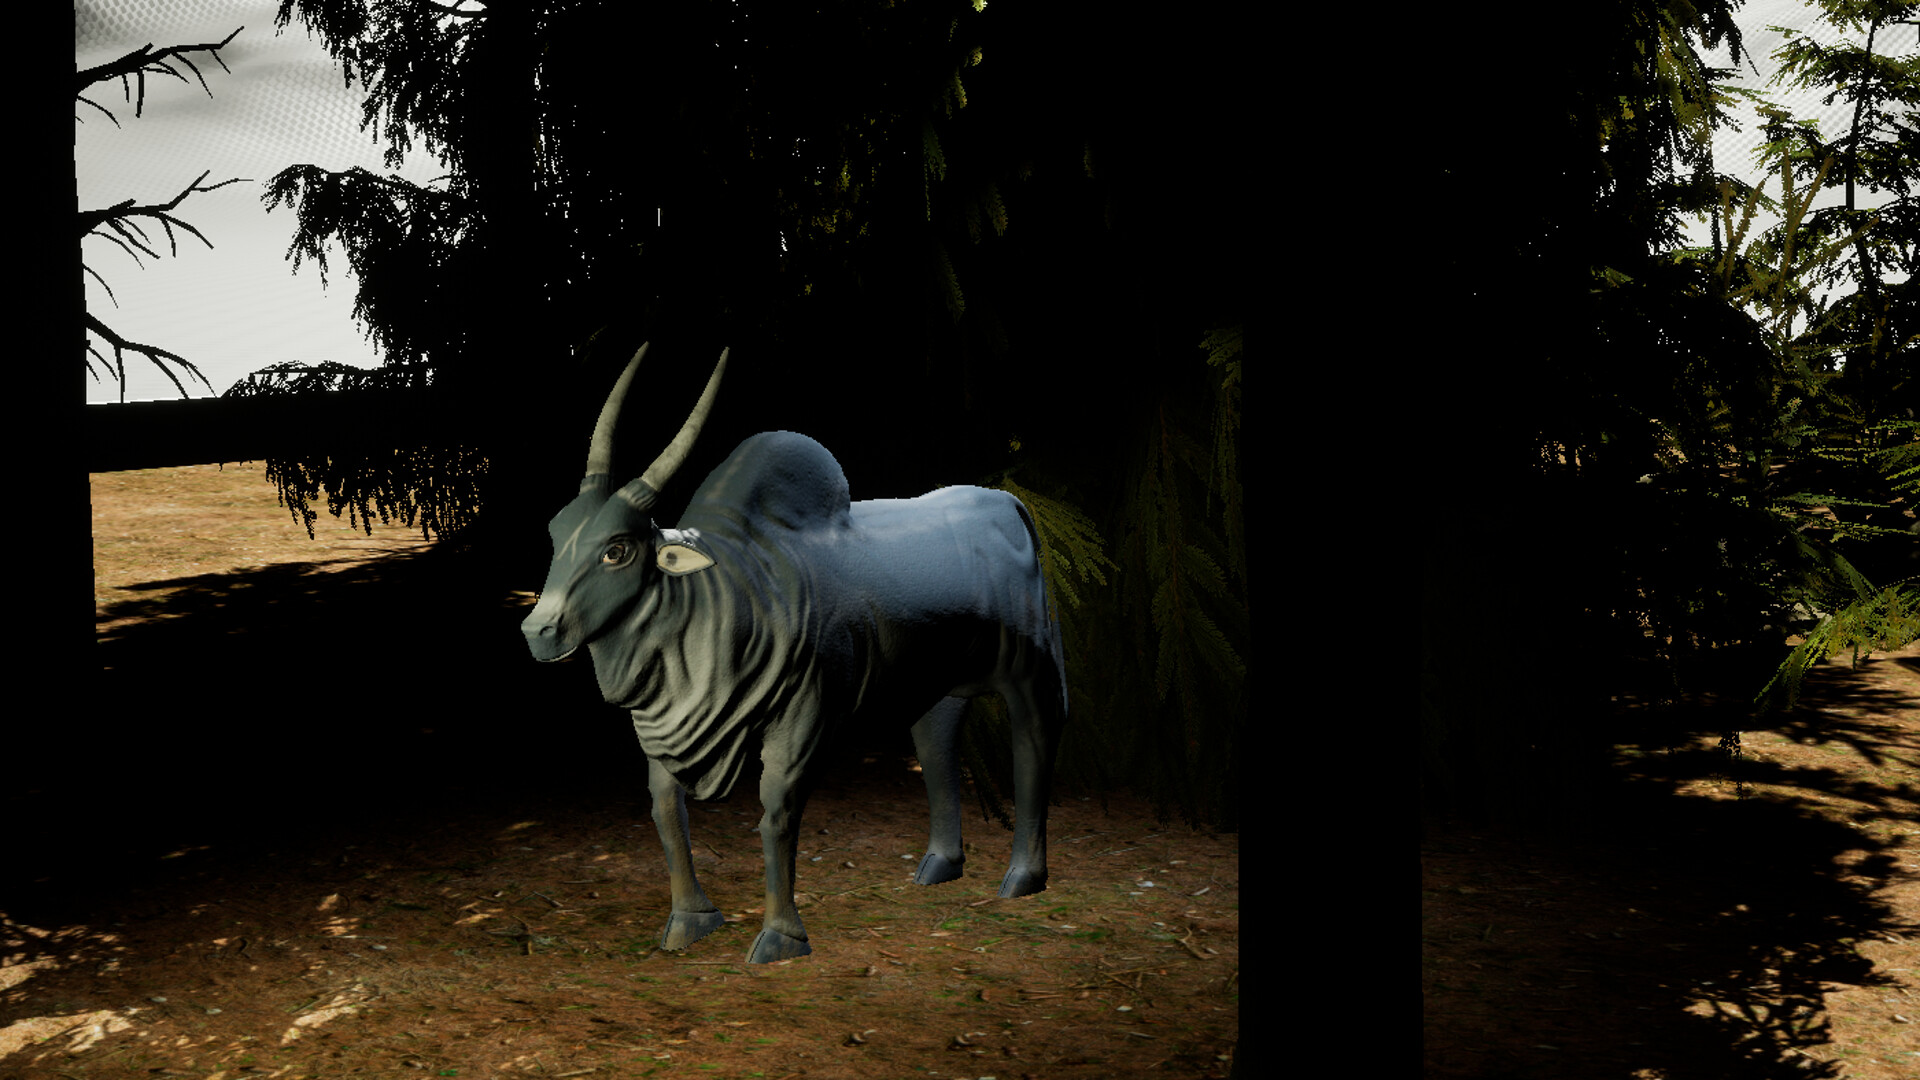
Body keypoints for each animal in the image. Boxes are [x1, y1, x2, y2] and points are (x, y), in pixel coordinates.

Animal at [521, 343, 1068, 963]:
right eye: (556, 532)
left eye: (617, 549)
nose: (538, 629)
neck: (720, 597)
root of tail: (1010, 506)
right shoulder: (664, 729)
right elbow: (665, 807)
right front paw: (690, 919)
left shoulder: (804, 717)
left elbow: (775, 813)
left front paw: (781, 935)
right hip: (935, 680)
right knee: (936, 744)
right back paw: (941, 864)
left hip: (1032, 668)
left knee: (1034, 743)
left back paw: (1023, 876)